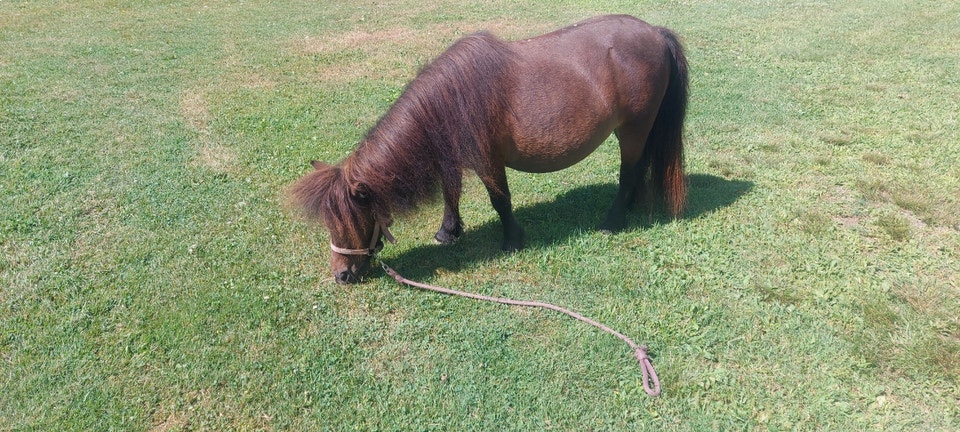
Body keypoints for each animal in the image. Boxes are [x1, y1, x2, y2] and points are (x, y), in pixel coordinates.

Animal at [289, 15, 689, 284]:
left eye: (352, 220)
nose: (341, 276)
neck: (452, 98)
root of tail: (656, 32)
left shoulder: (489, 161)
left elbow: (500, 200)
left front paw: (511, 240)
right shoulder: (451, 157)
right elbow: (451, 193)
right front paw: (448, 232)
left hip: (633, 129)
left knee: (629, 171)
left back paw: (612, 222)